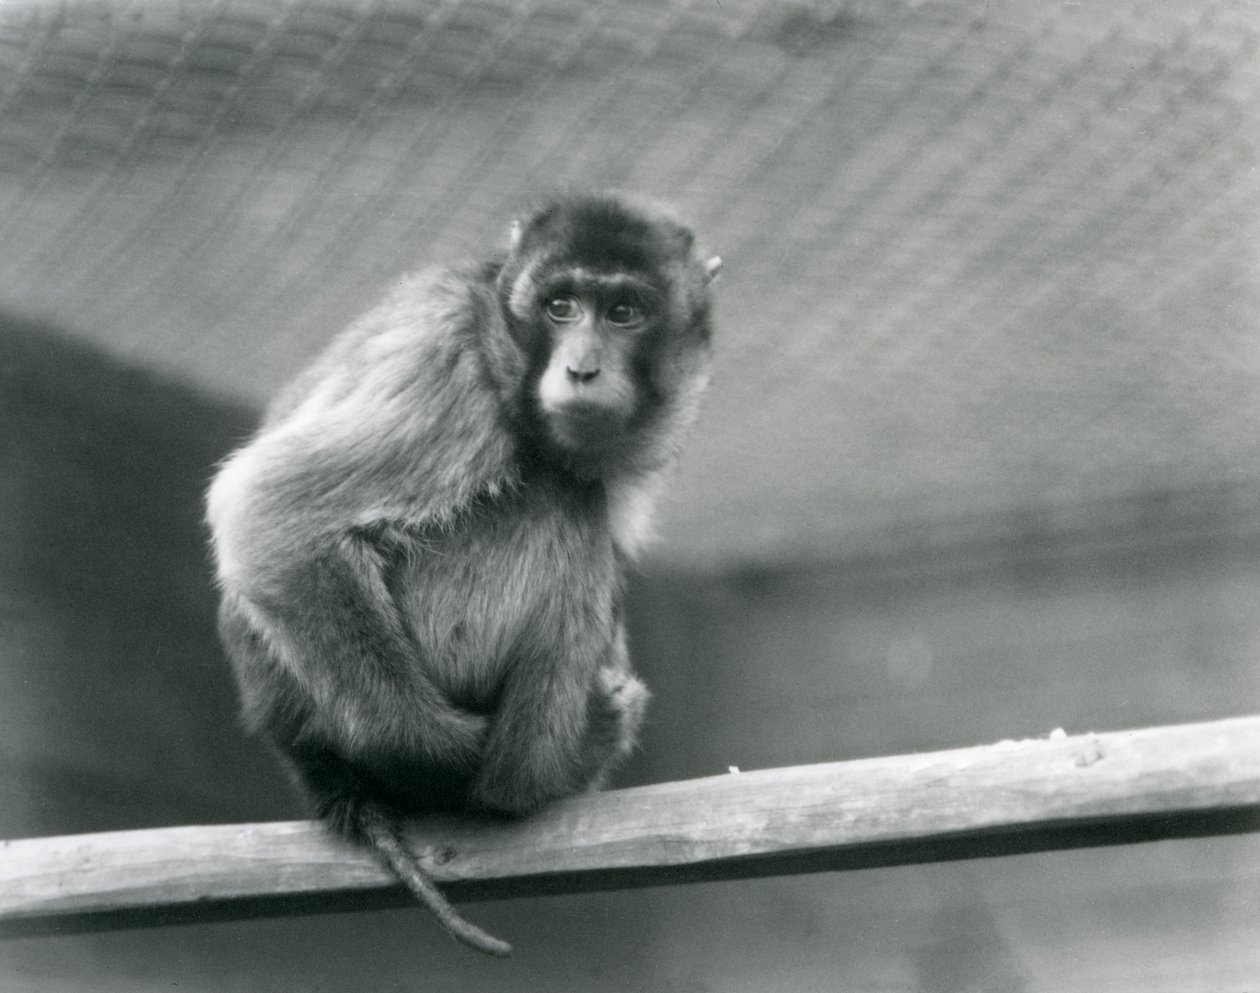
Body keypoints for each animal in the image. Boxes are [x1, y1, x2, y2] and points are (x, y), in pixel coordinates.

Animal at [205, 193, 721, 957]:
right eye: (561, 307)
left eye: (624, 312)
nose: (583, 368)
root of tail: (307, 756)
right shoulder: (453, 367)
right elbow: (268, 515)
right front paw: (450, 756)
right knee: (566, 500)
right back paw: (530, 771)